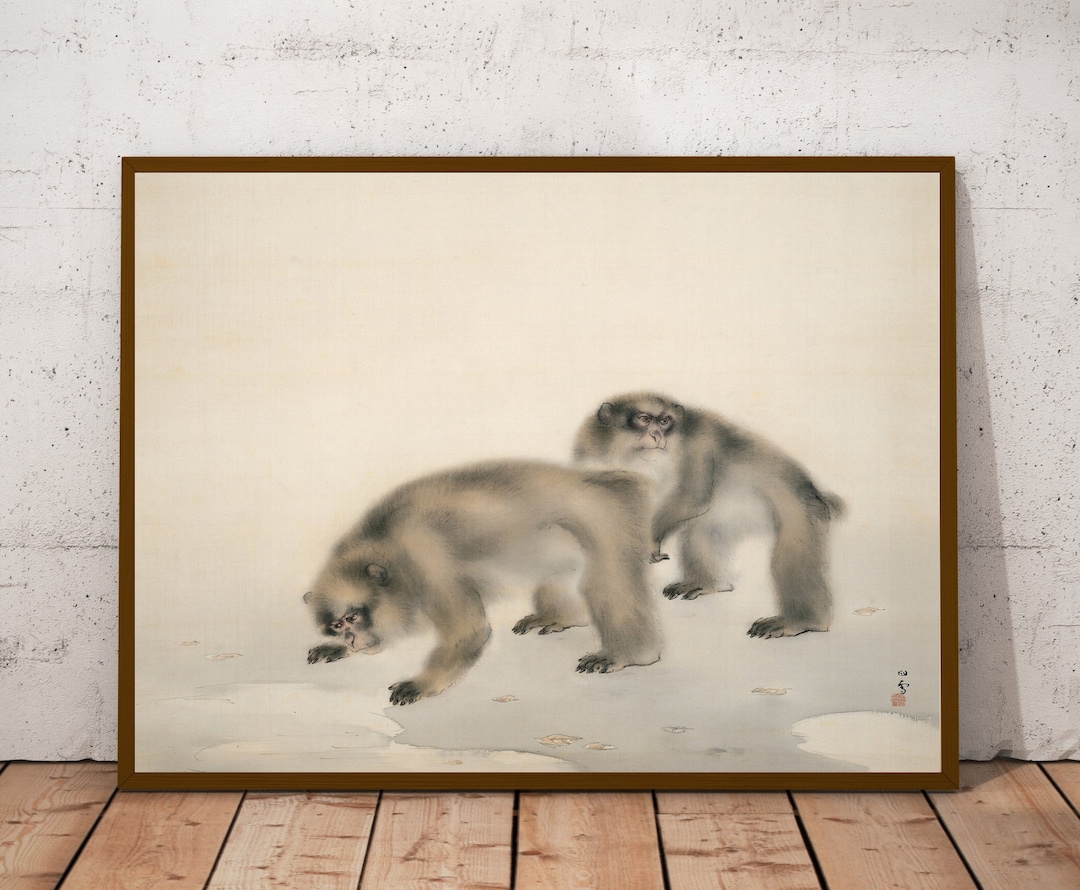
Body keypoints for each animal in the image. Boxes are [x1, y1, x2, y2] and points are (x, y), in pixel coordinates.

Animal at [303, 460, 662, 705]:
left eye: (353, 617)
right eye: (337, 625)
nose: (351, 640)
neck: (385, 543)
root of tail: (601, 478)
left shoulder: (426, 556)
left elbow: (469, 631)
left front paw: (423, 683)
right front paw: (334, 648)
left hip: (606, 512)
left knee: (607, 579)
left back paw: (632, 654)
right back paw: (564, 616)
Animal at [573, 393, 844, 640]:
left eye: (665, 422)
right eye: (644, 419)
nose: (658, 435)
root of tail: (816, 492)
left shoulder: (699, 443)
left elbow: (692, 495)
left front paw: (649, 540)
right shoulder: (591, 452)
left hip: (803, 509)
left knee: (792, 551)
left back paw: (802, 621)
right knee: (700, 532)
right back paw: (708, 584)